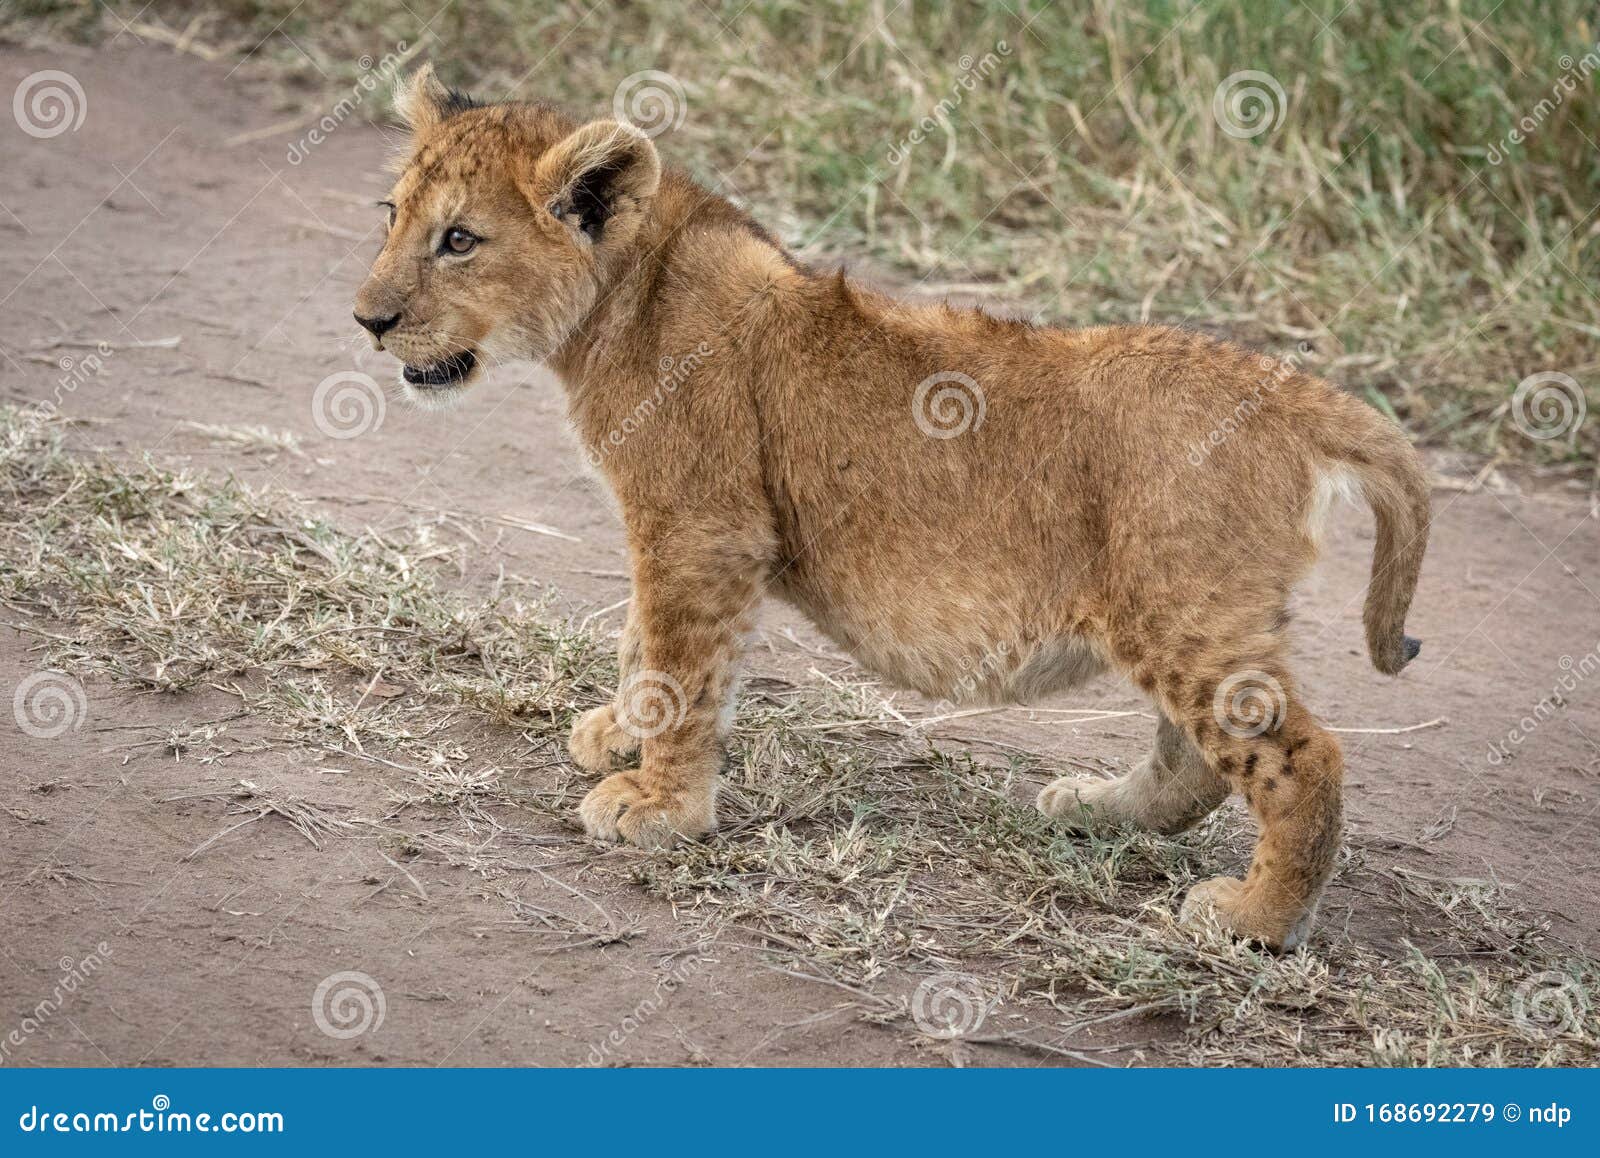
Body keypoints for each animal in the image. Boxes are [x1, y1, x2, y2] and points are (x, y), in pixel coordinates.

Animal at [353, 65, 1430, 950]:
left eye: (459, 240)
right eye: (392, 215)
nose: (368, 321)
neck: (628, 291)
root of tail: (1286, 392)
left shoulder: (702, 528)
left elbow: (677, 666)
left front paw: (660, 807)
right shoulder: (681, 532)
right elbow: (640, 643)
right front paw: (618, 735)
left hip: (1179, 606)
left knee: (1302, 756)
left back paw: (1254, 920)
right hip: (1179, 609)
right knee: (1199, 754)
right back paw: (1093, 809)